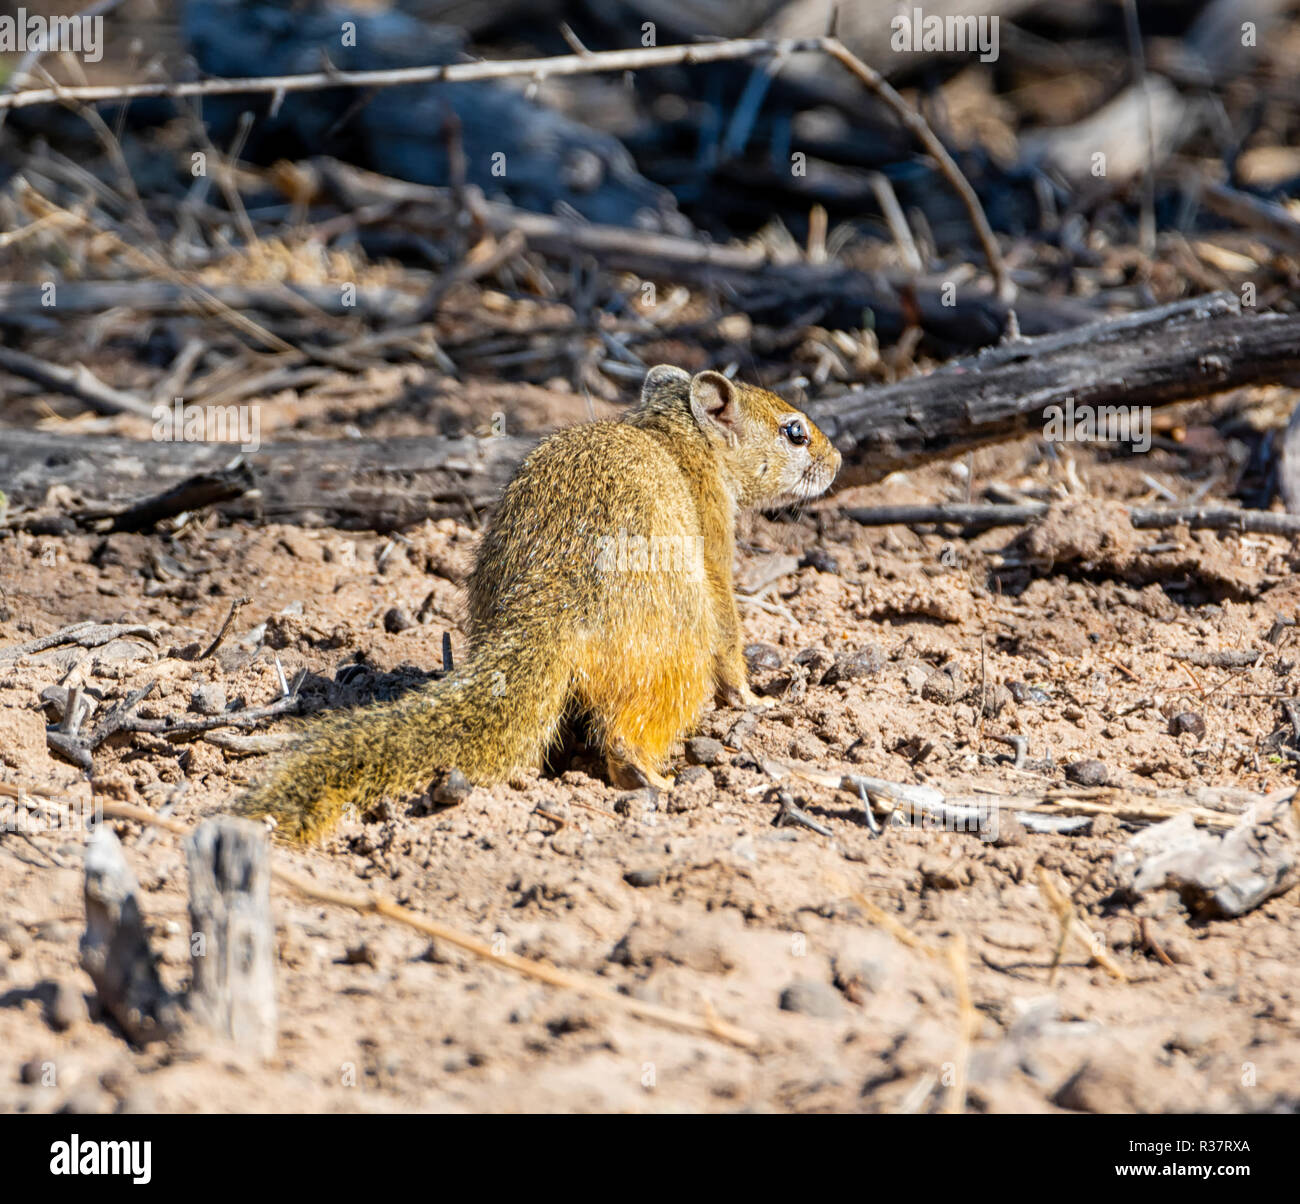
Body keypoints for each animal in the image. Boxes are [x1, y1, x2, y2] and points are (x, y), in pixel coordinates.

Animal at [237, 365, 841, 840]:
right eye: (794, 432)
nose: (837, 460)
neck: (673, 435)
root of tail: (545, 611)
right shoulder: (714, 541)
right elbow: (730, 634)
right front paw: (753, 697)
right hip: (678, 655)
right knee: (630, 731)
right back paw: (650, 779)